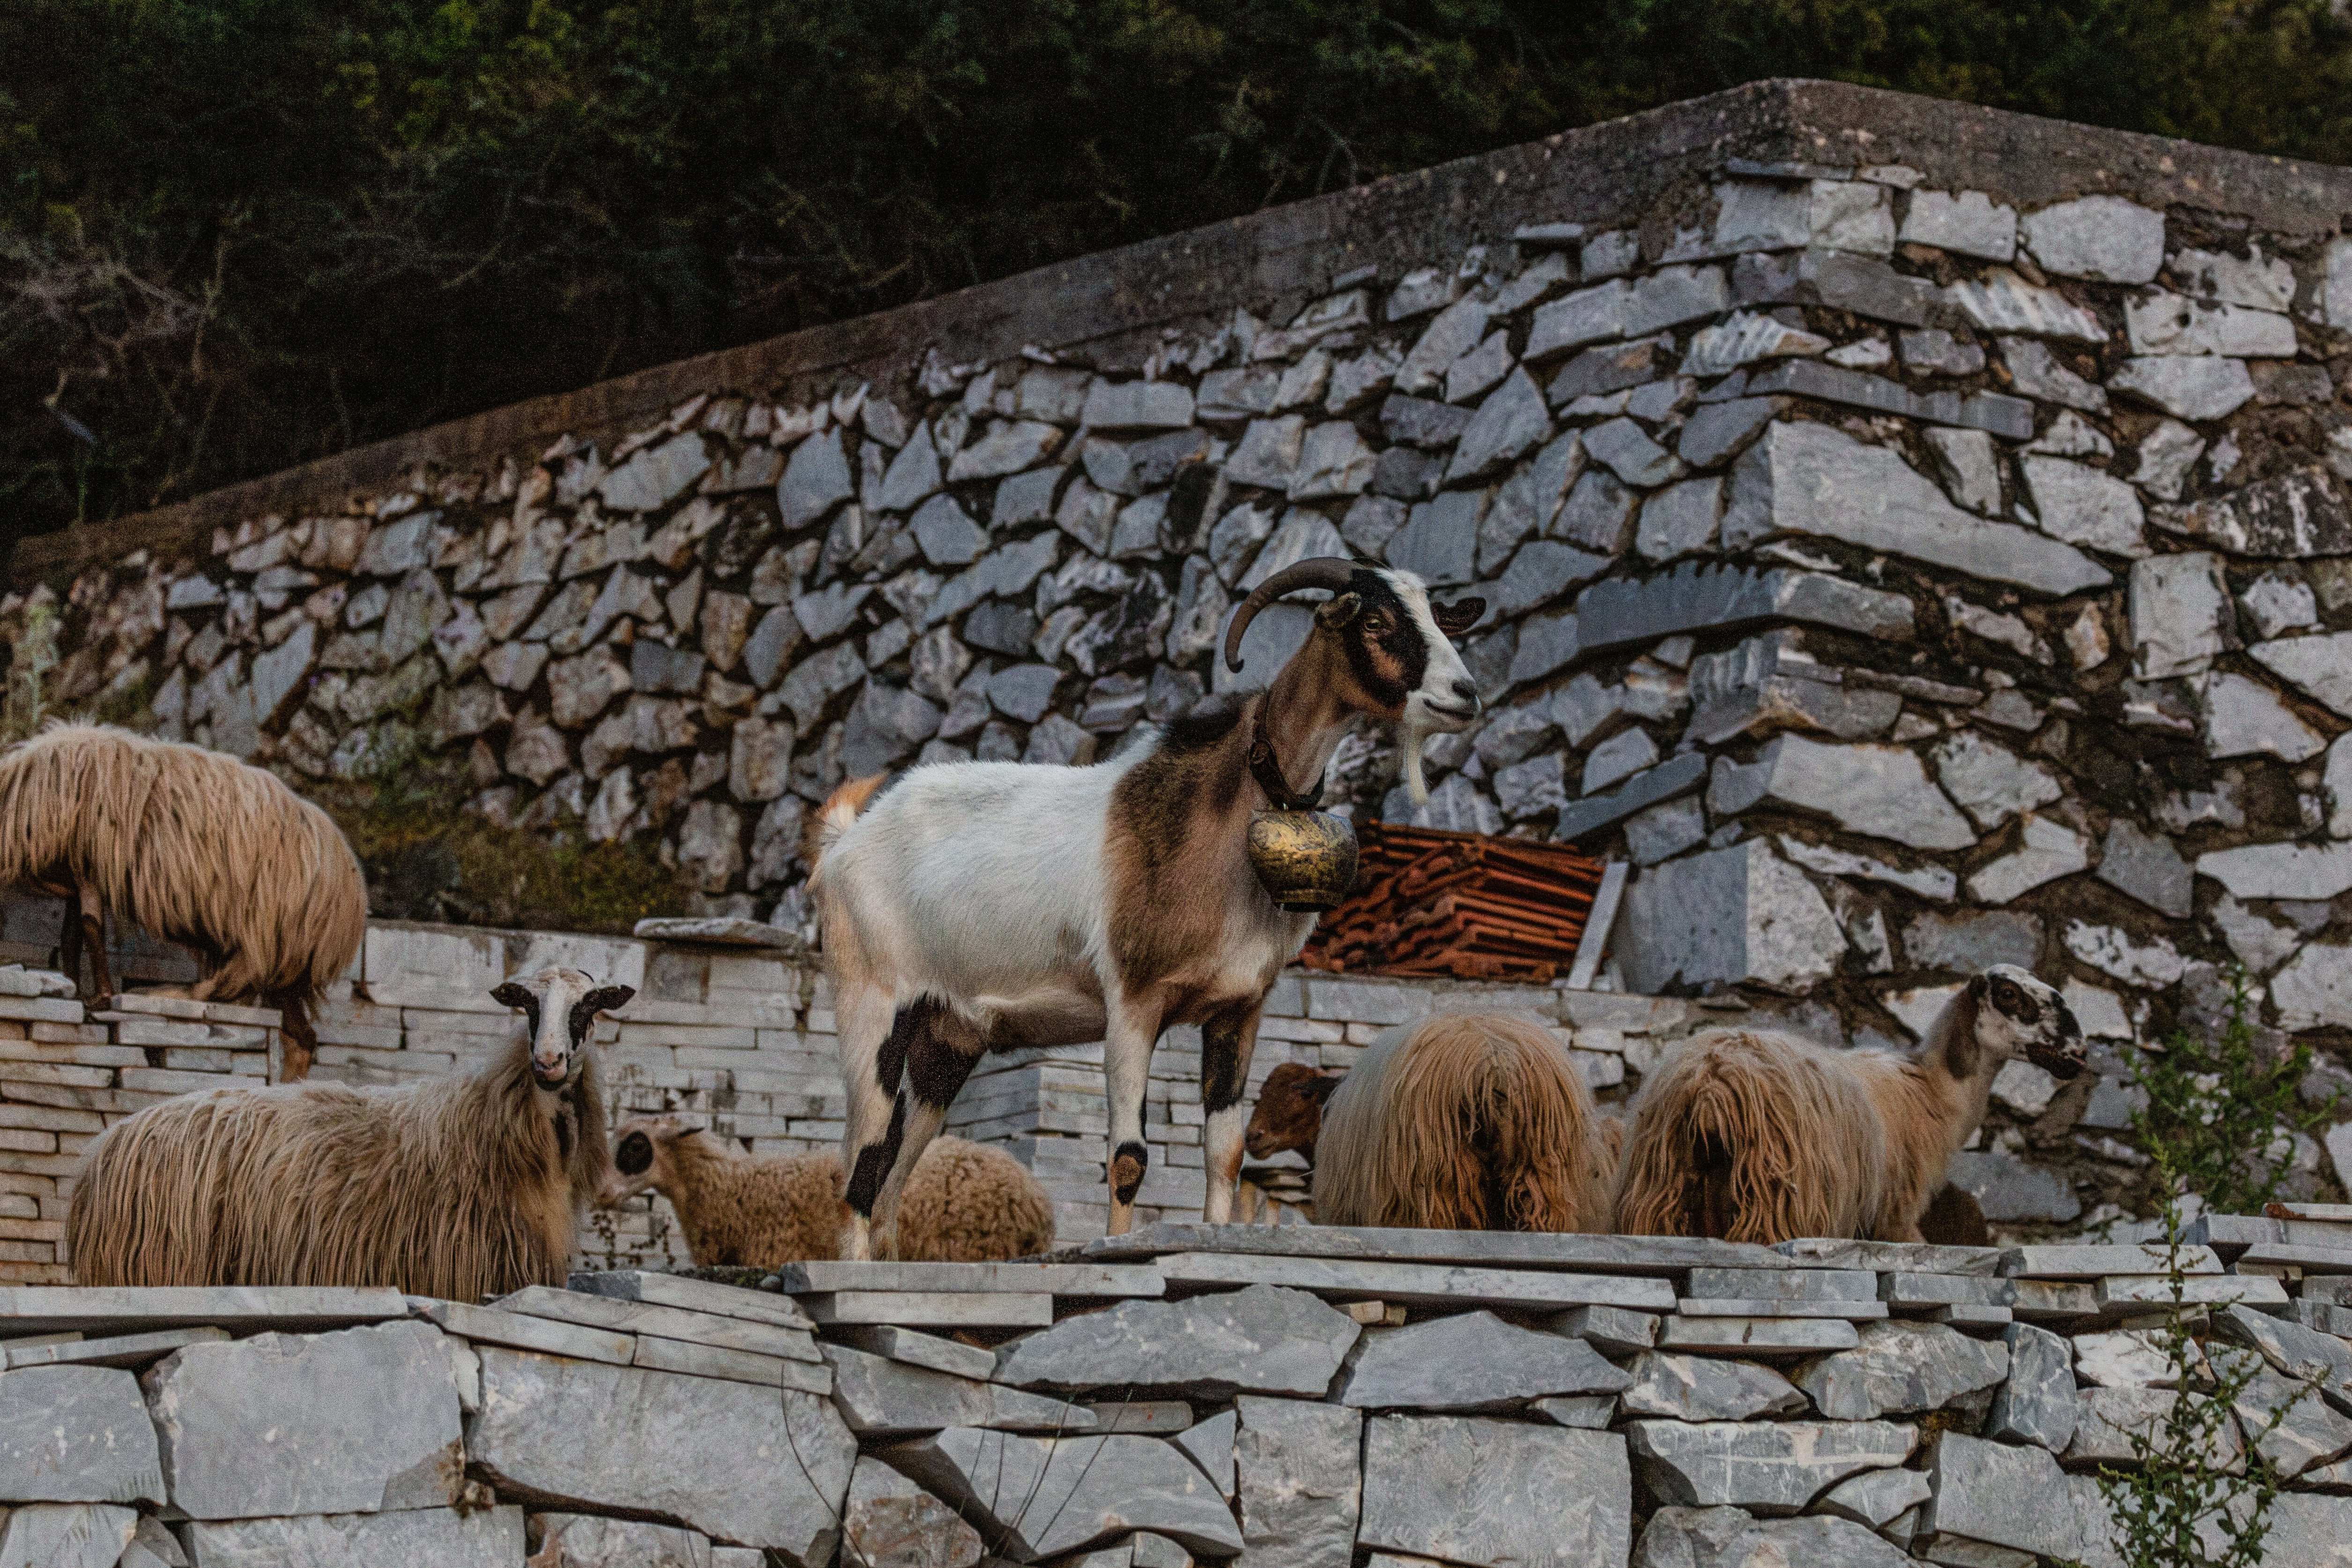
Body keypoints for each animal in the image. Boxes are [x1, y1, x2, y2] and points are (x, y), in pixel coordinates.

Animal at [0, 722, 367, 1080]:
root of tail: (352, 890)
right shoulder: (79, 874)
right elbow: (72, 936)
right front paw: (75, 988)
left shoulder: (90, 865)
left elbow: (90, 929)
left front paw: (101, 997)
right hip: (288, 963)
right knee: (301, 1038)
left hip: (271, 940)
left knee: (250, 999)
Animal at [809, 557, 1485, 1254]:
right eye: (1374, 621)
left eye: (1434, 616)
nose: (1464, 695)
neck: (1221, 818)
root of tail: (843, 842)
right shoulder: (1133, 1002)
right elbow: (1129, 1156)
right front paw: (1113, 1246)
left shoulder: (1238, 1009)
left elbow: (1225, 1151)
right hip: (873, 1006)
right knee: (864, 1162)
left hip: (948, 1039)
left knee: (895, 1176)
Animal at [1613, 966, 2085, 1244]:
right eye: (2008, 994)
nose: (2079, 1051)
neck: (1934, 1089)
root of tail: (1712, 1081)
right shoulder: (1897, 1212)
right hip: (1779, 1200)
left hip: (1662, 1193)